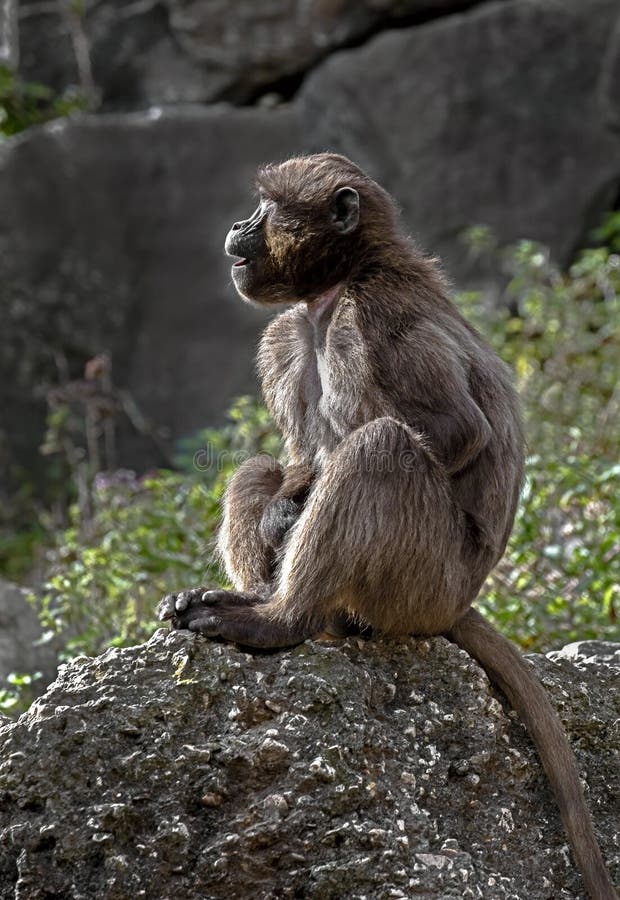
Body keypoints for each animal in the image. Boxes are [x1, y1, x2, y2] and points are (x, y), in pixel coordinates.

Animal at [158, 153, 616, 899]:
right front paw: (285, 504)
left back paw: (280, 619)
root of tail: (459, 603)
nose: (237, 226)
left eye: (265, 207)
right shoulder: (285, 336)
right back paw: (265, 596)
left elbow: (454, 434)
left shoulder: (369, 319)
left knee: (381, 447)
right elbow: (295, 460)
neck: (333, 291)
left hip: (422, 583)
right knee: (259, 469)